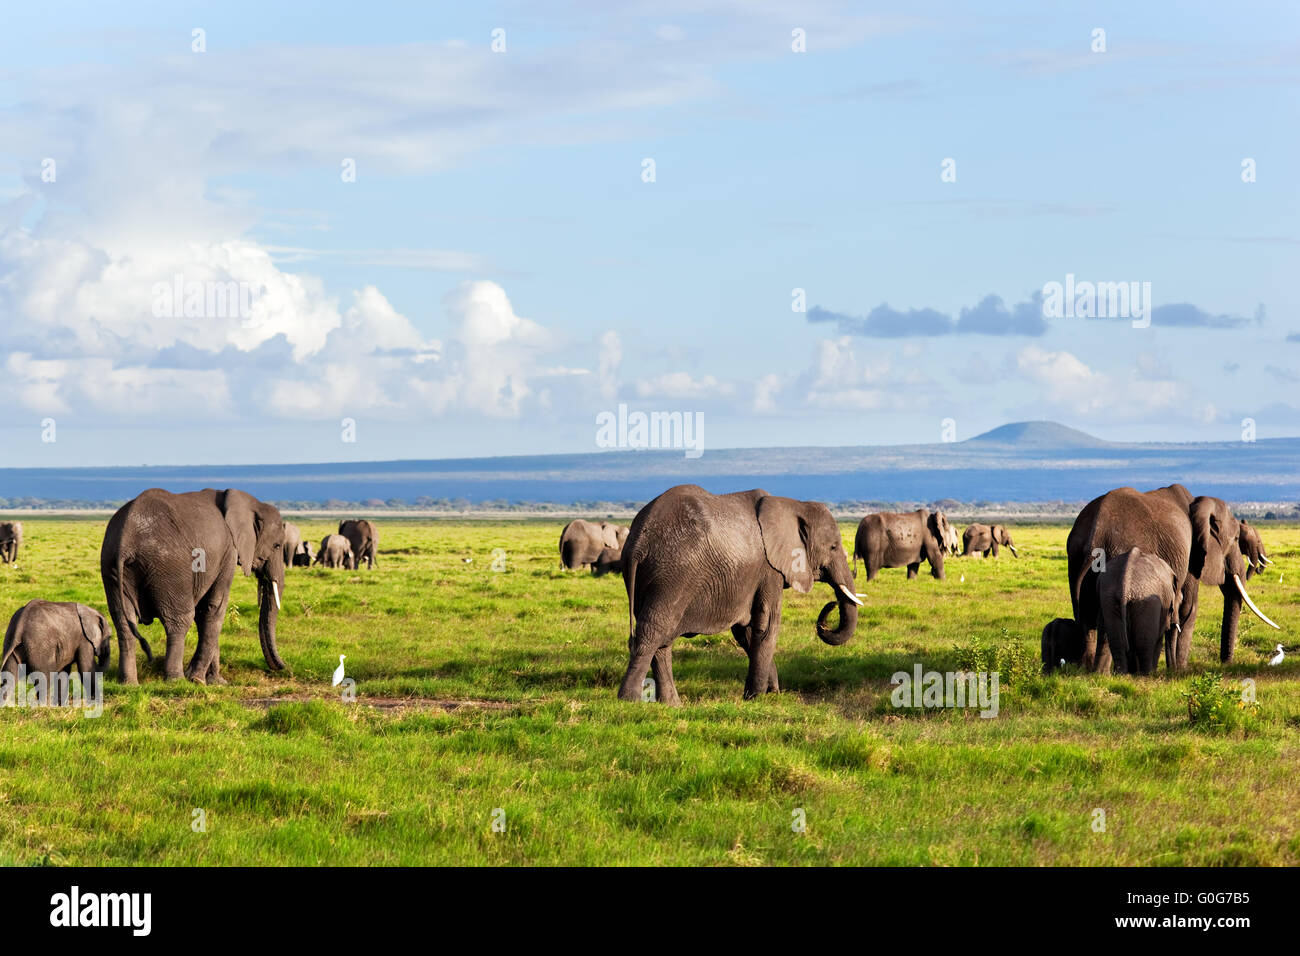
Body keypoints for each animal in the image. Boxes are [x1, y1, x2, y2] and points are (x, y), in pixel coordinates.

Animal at [100, 487, 287, 685]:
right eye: (277, 546)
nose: (283, 667)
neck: (250, 502)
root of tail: (126, 540)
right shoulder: (229, 552)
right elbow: (213, 608)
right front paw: (198, 680)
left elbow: (205, 612)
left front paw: (216, 682)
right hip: (170, 568)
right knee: (179, 621)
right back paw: (176, 680)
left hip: (111, 567)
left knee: (124, 622)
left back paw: (129, 684)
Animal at [617, 484, 862, 703]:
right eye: (833, 547)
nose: (830, 605)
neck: (792, 504)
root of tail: (638, 543)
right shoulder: (769, 570)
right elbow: (766, 626)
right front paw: (757, 697)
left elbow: (747, 631)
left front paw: (770, 692)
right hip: (673, 576)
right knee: (654, 631)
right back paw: (629, 700)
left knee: (661, 641)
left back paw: (671, 704)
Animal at [1066, 483, 1279, 672]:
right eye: (1235, 540)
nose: (1226, 664)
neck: (1199, 503)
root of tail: (1096, 533)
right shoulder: (1192, 555)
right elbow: (1188, 608)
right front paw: (1180, 670)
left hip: (1075, 561)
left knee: (1086, 618)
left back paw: (1088, 670)